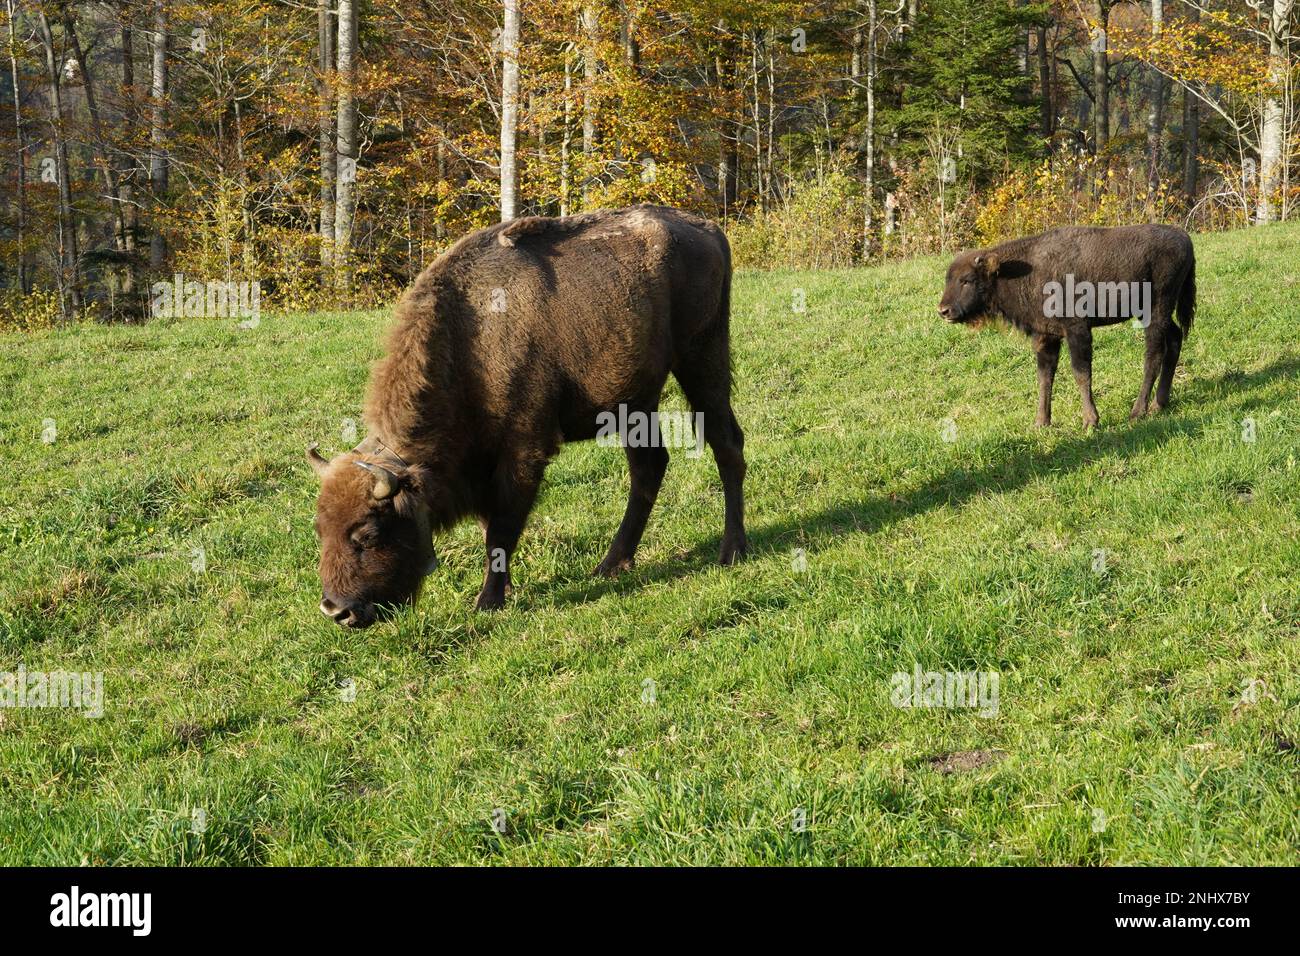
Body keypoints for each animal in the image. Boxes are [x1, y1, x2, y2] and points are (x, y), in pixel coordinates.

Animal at [308, 205, 748, 625]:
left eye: (367, 534)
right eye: (319, 529)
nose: (336, 610)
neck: (469, 338)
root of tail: (708, 229)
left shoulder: (523, 452)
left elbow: (501, 530)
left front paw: (487, 602)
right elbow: (491, 526)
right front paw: (504, 590)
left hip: (702, 361)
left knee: (726, 446)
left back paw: (732, 552)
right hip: (635, 400)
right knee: (649, 467)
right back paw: (611, 564)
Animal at [939, 224, 1196, 428]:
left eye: (967, 280)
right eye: (948, 280)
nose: (943, 311)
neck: (1018, 270)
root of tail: (1185, 238)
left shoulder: (1077, 331)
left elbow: (1081, 373)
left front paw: (1090, 421)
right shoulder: (1046, 335)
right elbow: (1045, 377)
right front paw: (1041, 423)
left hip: (1155, 310)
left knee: (1154, 355)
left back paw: (1137, 412)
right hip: (1158, 314)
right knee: (1174, 340)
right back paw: (1159, 405)